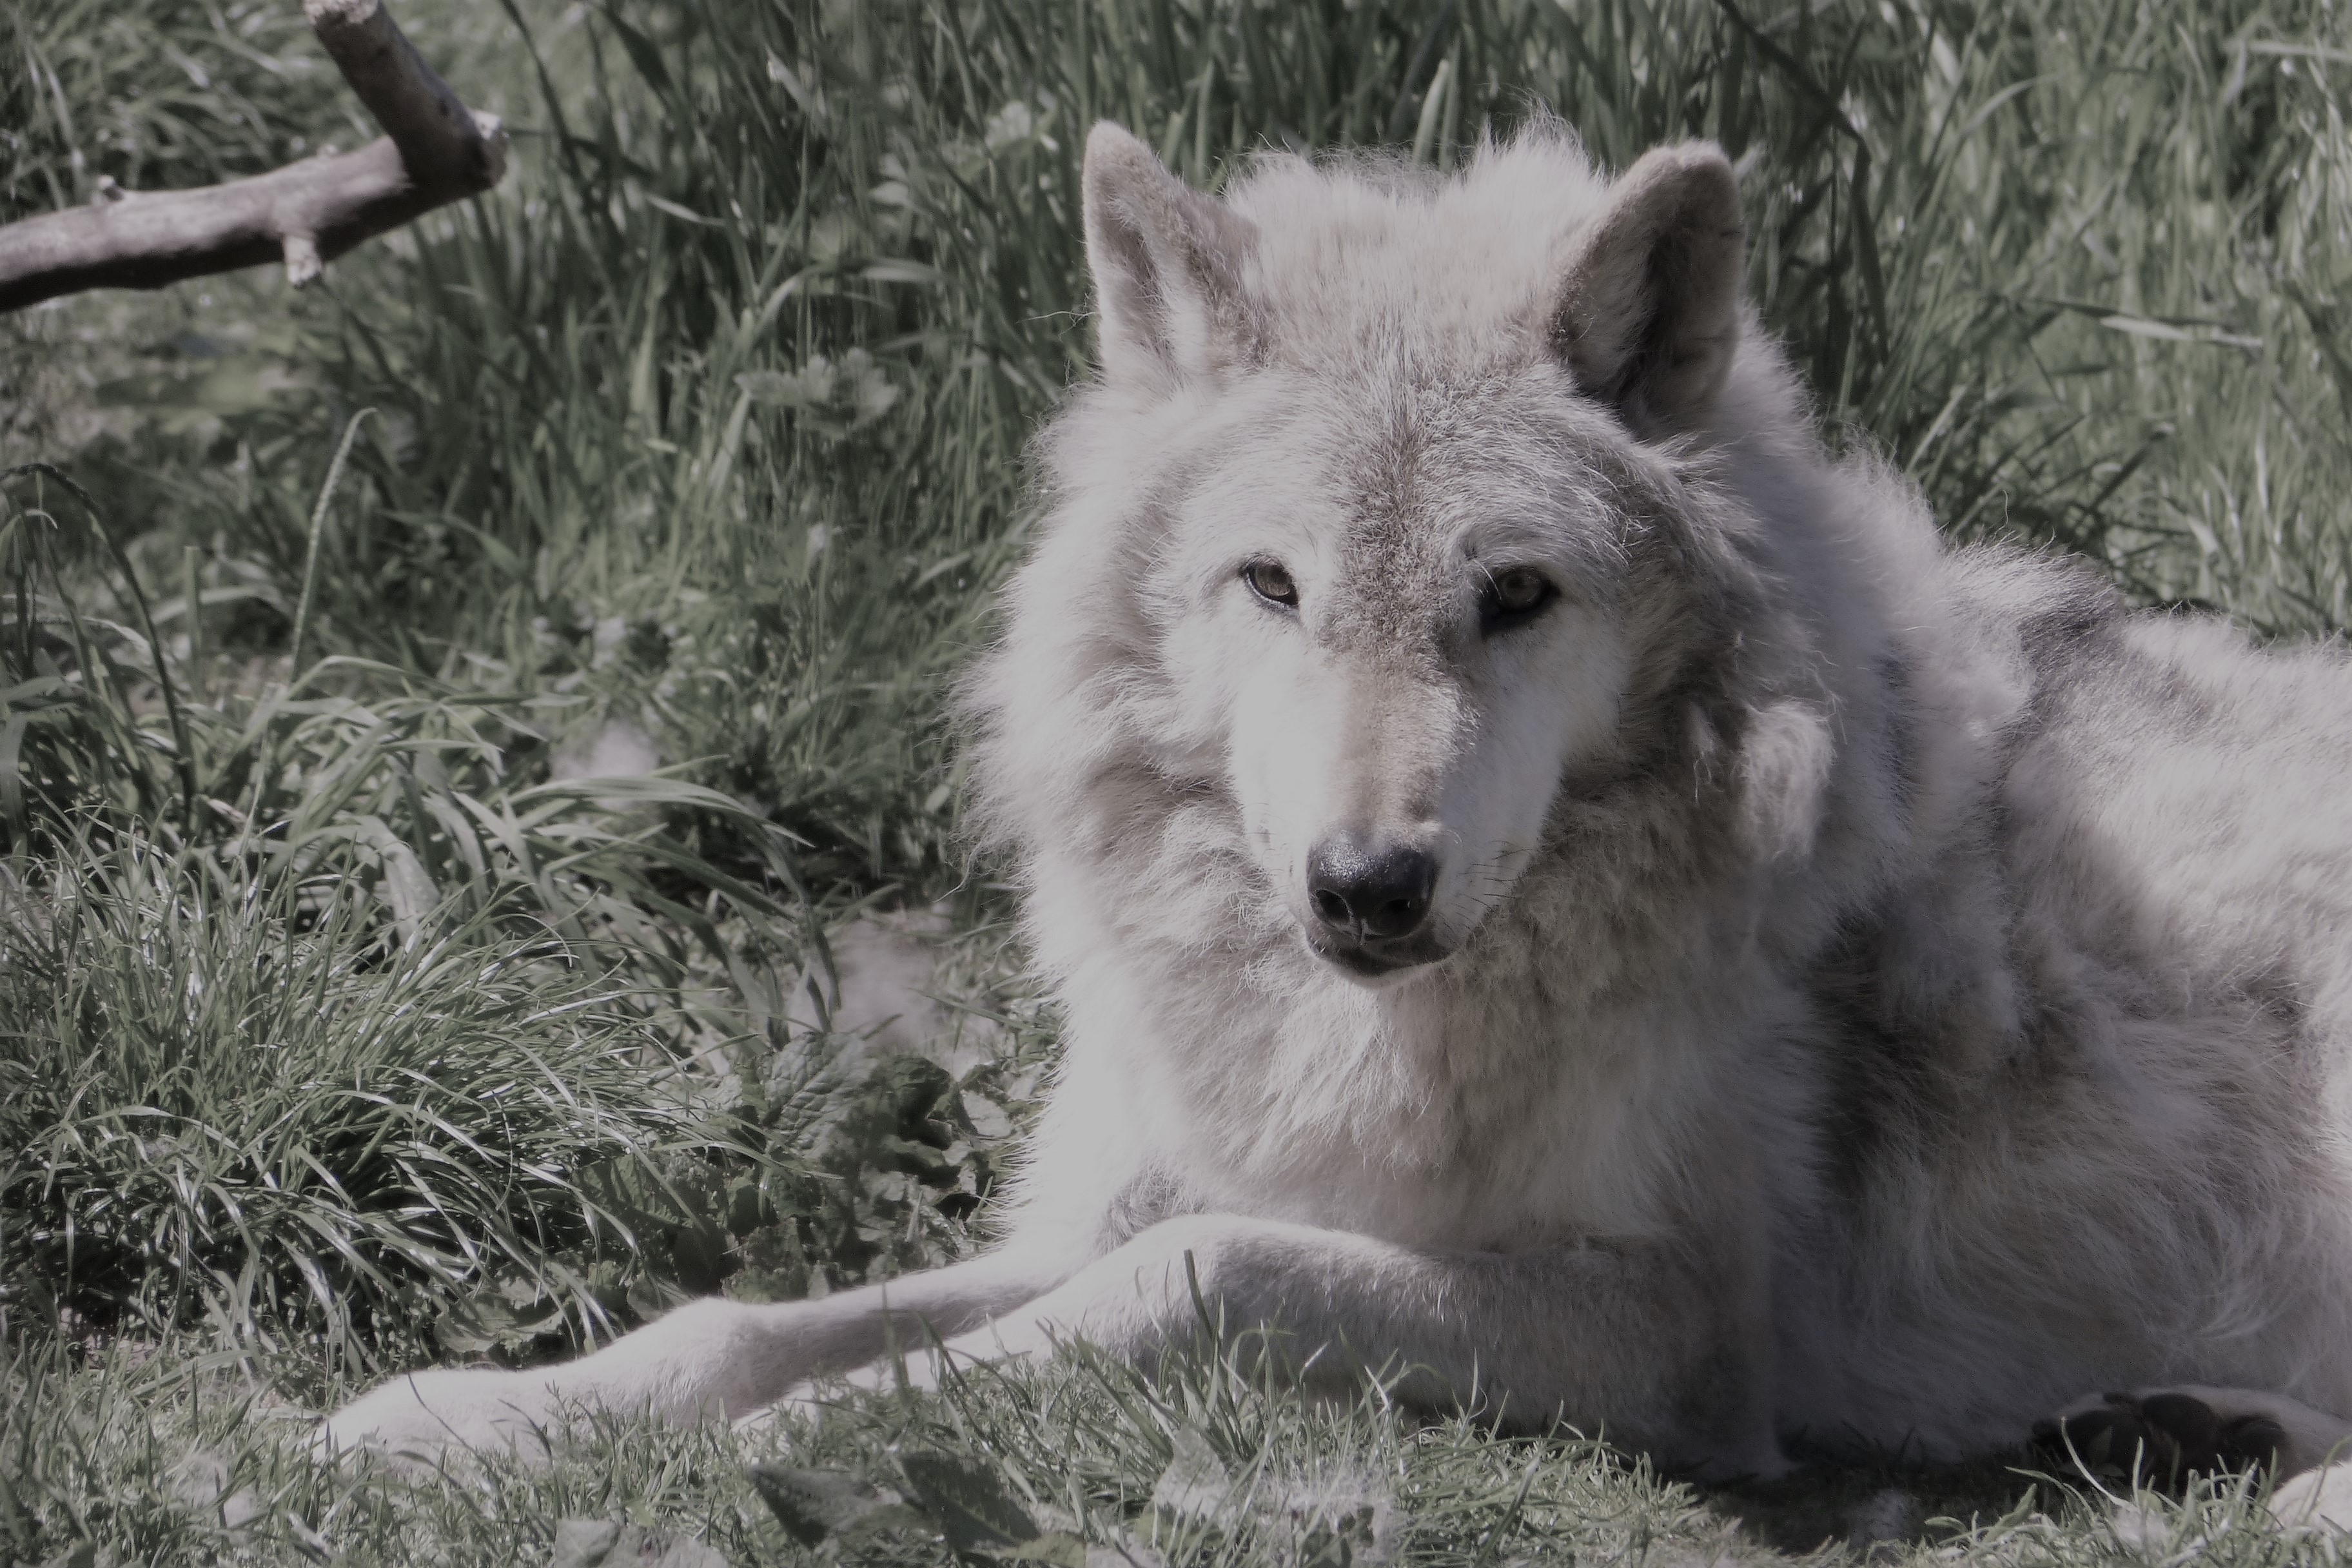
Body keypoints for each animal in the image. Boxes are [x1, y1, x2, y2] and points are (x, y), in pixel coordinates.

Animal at [326, 119, 2352, 1513]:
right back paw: (2187, 1427)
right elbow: (747, 1316)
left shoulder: (1684, 1330)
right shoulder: (1119, 1194)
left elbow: (1192, 1271)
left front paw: (843, 1423)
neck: (1383, 1029)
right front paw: (483, 1412)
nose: (1367, 884)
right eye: (1272, 585)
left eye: (1516, 595)